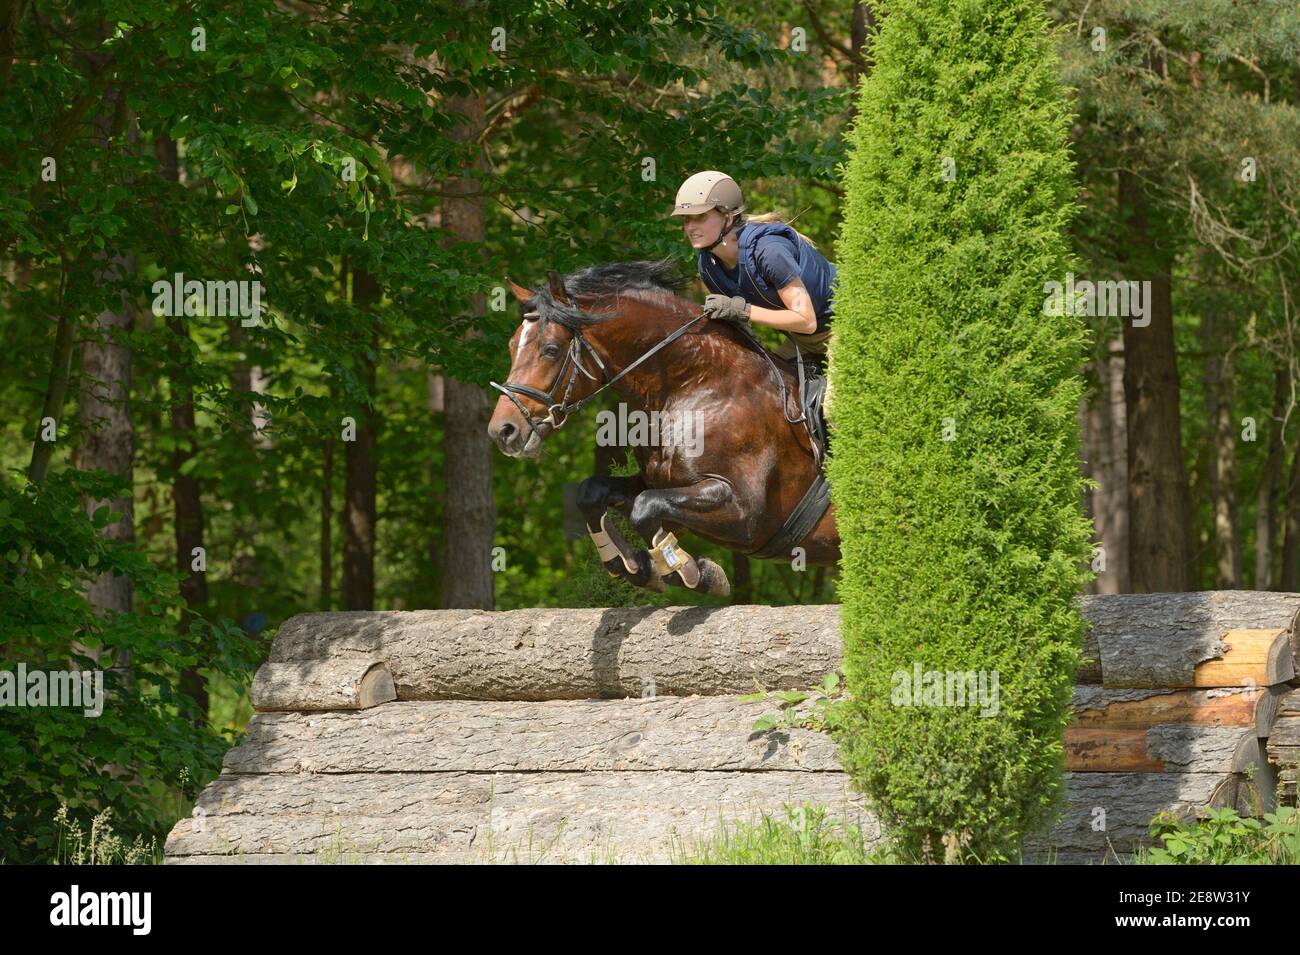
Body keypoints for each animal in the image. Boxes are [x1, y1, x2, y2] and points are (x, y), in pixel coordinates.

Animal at [486, 259, 839, 597]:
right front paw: (634, 566)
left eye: (551, 350)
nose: (502, 431)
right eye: (511, 345)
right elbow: (594, 493)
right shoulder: (656, 481)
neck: (696, 385)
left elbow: (646, 508)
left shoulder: (745, 512)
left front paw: (693, 573)